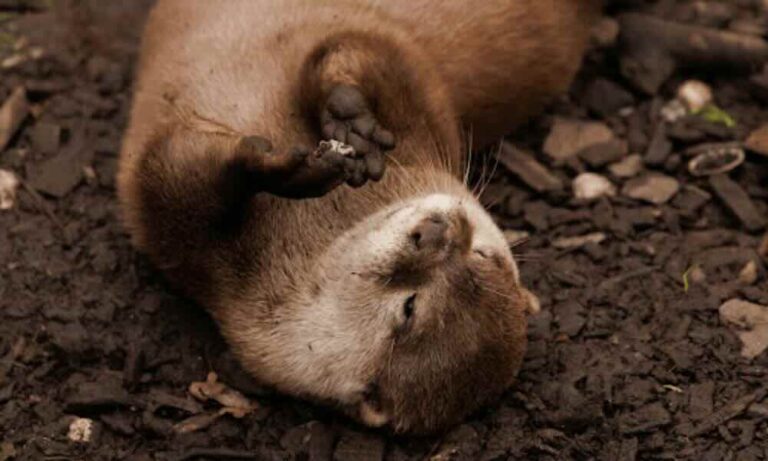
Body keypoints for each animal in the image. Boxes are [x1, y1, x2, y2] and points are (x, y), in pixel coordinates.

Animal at [118, 0, 599, 433]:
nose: (439, 230)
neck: (308, 229)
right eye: (483, 254)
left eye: (410, 308)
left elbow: (172, 176)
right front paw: (347, 123)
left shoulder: (179, 237)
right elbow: (358, 52)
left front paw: (281, 167)